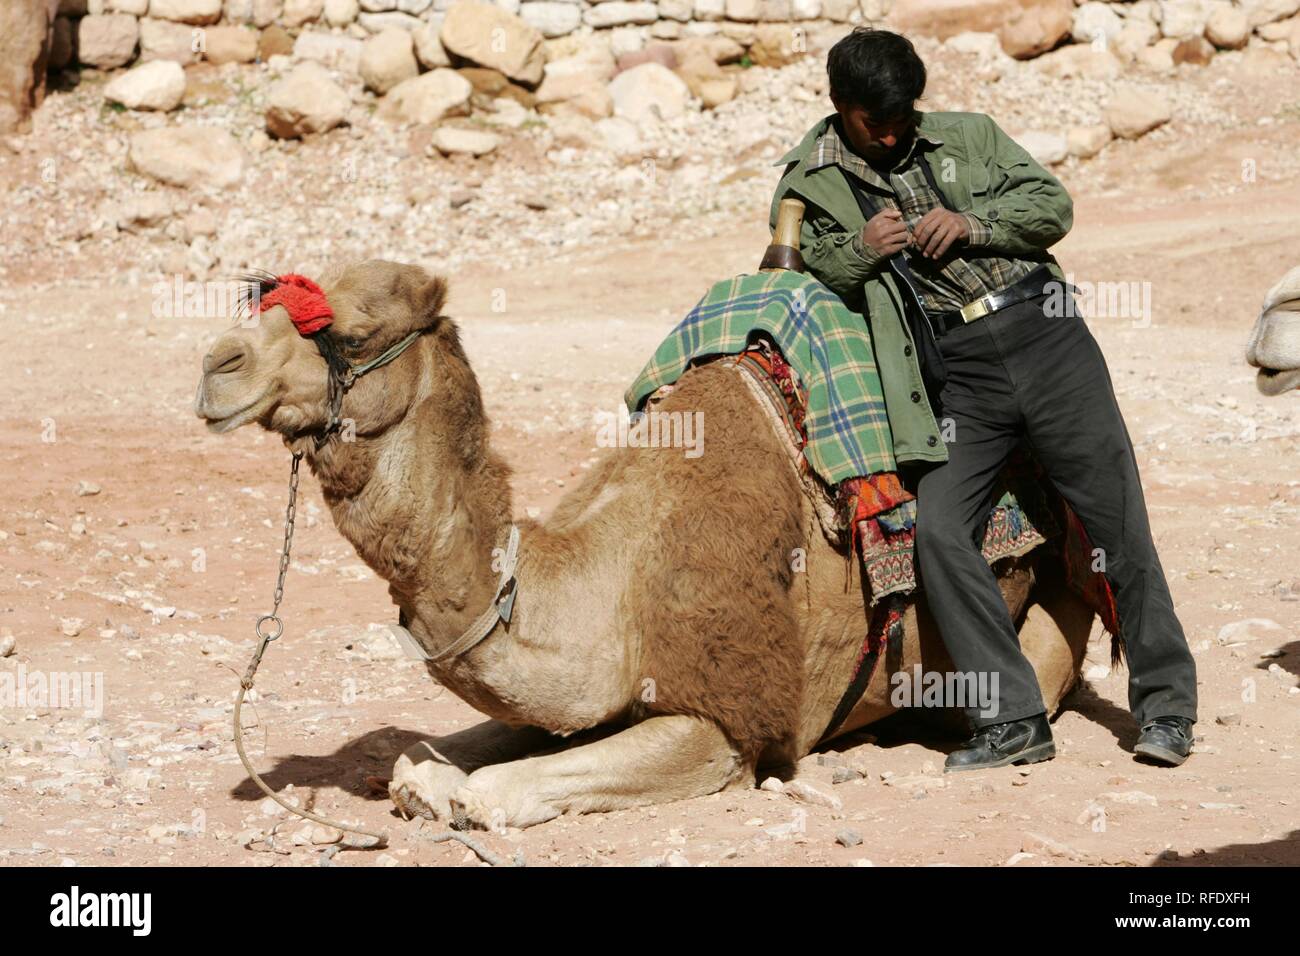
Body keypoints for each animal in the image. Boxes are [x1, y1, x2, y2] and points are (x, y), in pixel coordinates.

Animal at [194, 259, 1097, 830]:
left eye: (351, 334)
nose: (215, 365)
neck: (605, 577)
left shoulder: (730, 725)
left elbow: (496, 790)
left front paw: (464, 798)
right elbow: (424, 760)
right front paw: (428, 778)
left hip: (1052, 614)